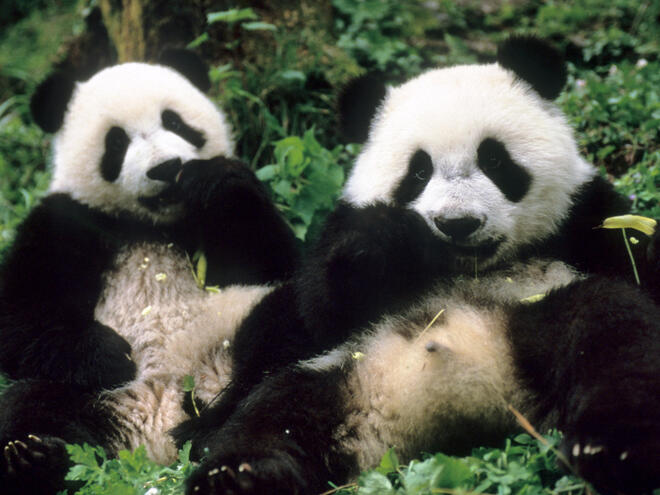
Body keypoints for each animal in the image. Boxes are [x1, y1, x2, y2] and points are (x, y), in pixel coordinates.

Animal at [0, 49, 298, 494]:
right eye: (117, 141)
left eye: (174, 122)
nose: (167, 167)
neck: (151, 226)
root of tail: (157, 427)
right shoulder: (65, 220)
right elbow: (20, 316)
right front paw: (111, 354)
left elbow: (278, 261)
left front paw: (216, 181)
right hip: (90, 397)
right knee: (30, 403)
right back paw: (34, 459)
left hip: (232, 338)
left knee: (281, 345)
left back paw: (223, 450)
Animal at [174, 37, 660, 495]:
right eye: (419, 172)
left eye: (494, 159)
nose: (457, 223)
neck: (469, 267)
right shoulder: (339, 236)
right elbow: (318, 307)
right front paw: (388, 238)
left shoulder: (584, 216)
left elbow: (638, 267)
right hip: (340, 368)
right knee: (274, 413)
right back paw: (235, 476)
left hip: (538, 320)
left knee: (612, 335)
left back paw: (610, 450)